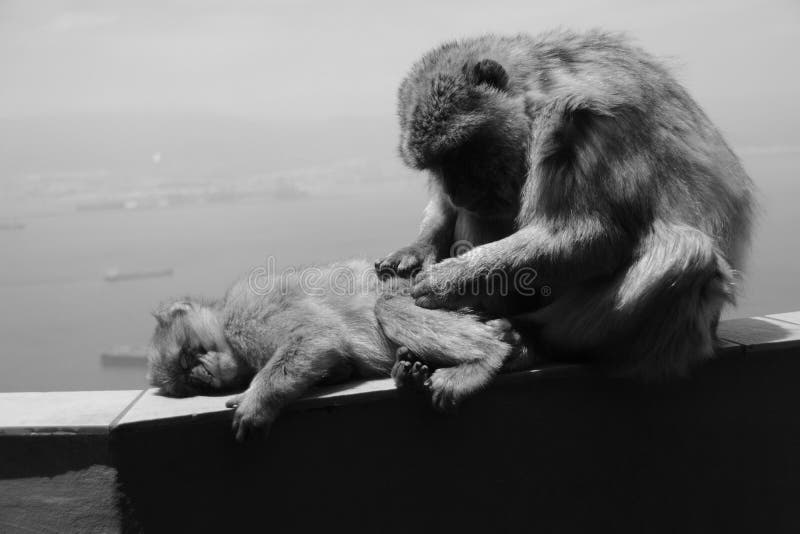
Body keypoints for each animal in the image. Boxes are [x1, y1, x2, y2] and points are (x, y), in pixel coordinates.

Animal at [148, 259, 528, 441]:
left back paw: (485, 358)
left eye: (188, 357)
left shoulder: (249, 314)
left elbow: (317, 336)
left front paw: (256, 402)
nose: (201, 375)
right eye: (187, 384)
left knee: (388, 305)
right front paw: (337, 374)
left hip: (442, 295)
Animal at [375, 29, 754, 393]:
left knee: (686, 251)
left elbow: (592, 234)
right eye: (438, 165)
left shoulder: (576, 123)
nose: (457, 191)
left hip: (685, 336)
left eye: (460, 151)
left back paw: (529, 341)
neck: (539, 89)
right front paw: (418, 248)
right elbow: (449, 212)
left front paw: (448, 280)